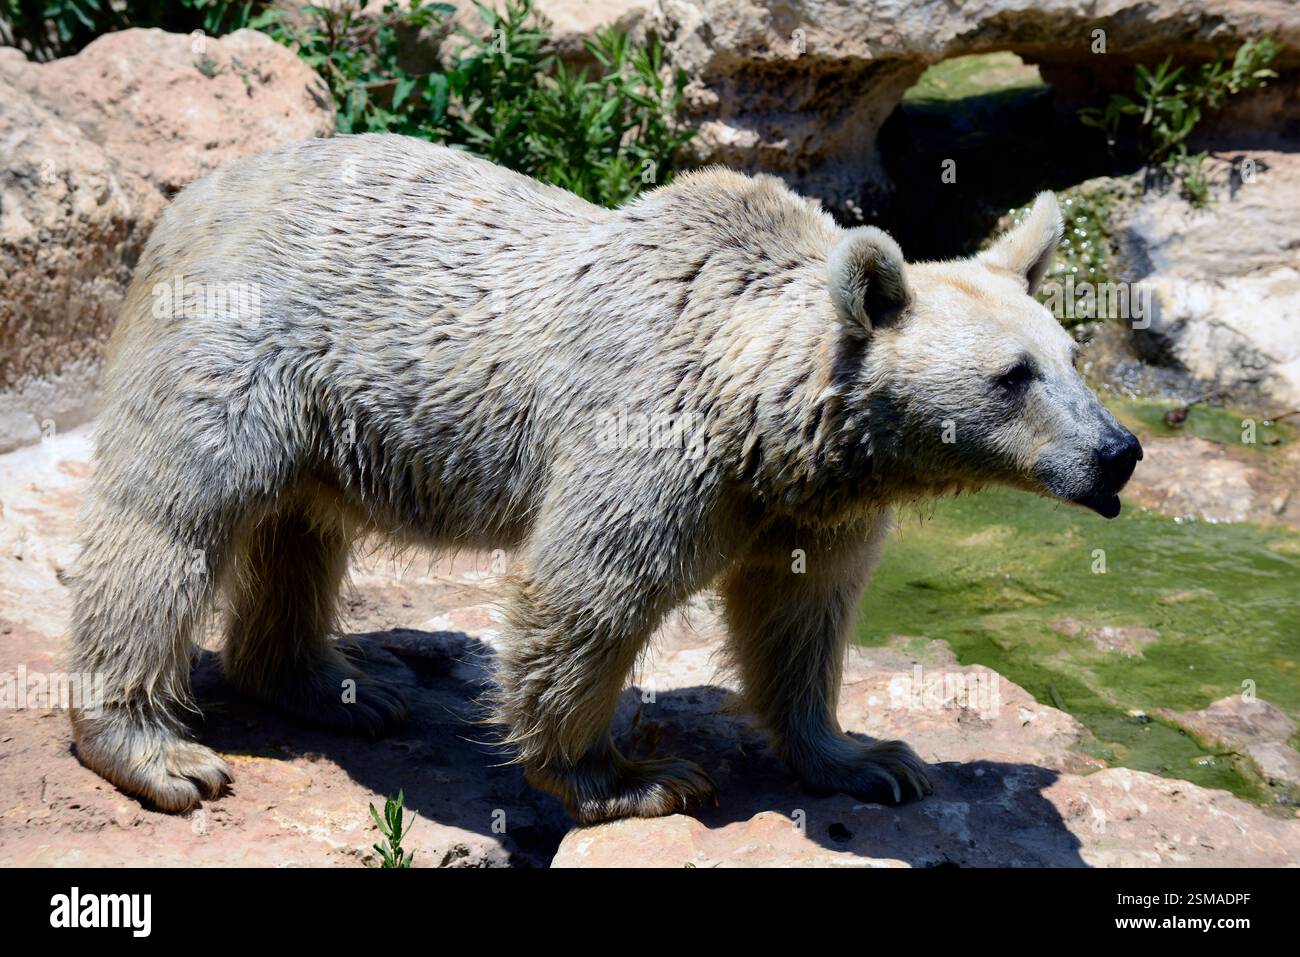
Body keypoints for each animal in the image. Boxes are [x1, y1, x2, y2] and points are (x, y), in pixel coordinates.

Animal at [68, 133, 1142, 821]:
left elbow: (801, 611)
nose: (1119, 450)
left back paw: (340, 687)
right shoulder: (656, 433)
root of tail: (187, 200)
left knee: (299, 532)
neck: (756, 403)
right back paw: (159, 752)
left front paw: (871, 759)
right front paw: (630, 777)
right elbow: (590, 591)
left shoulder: (809, 498)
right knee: (166, 525)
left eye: (1070, 355)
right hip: (237, 349)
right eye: (1013, 376)